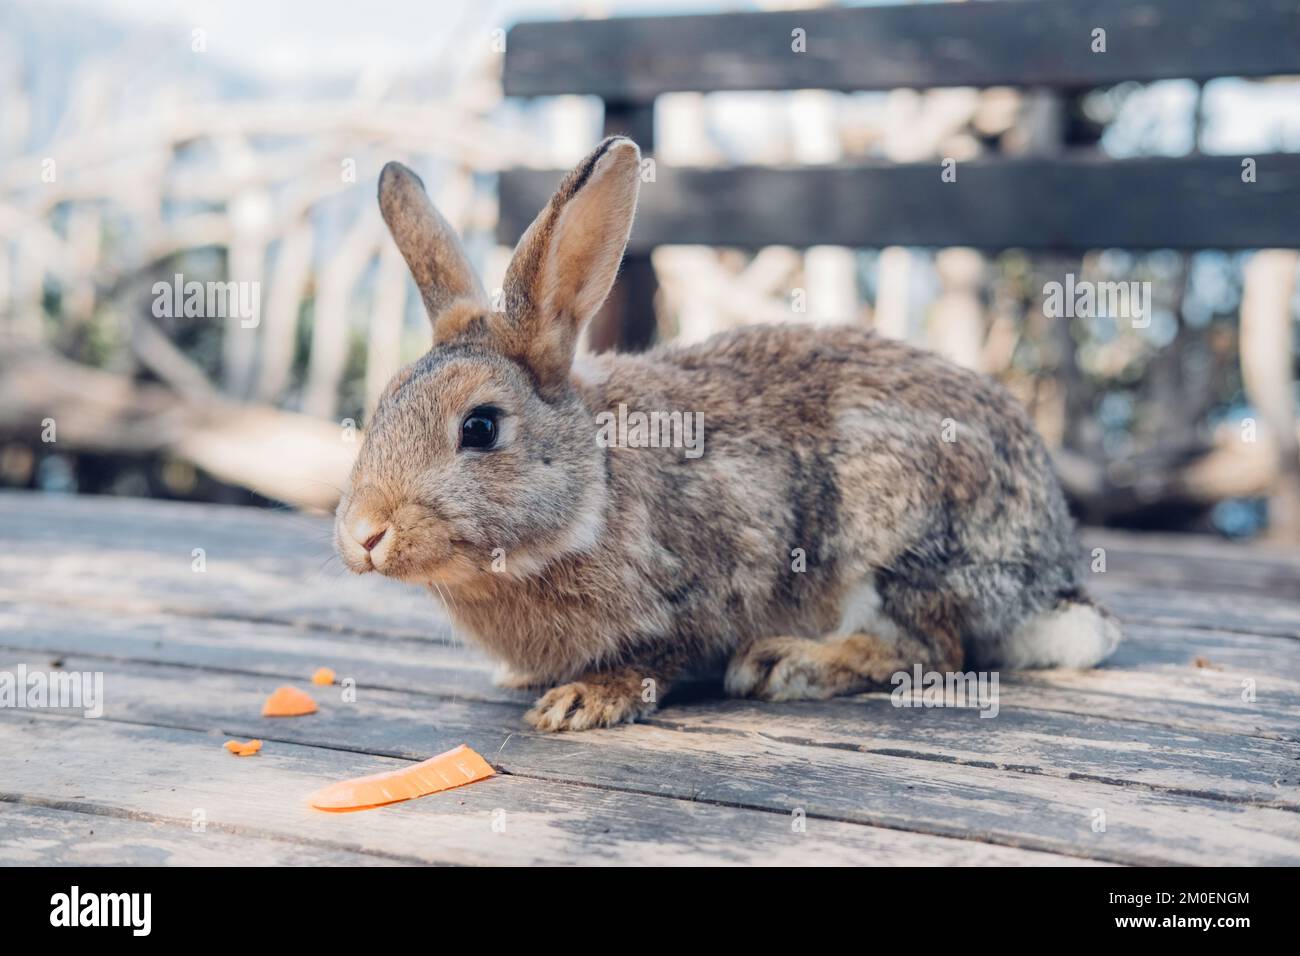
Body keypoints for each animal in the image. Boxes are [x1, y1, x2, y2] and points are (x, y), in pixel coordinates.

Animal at [335, 136, 1121, 732]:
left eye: (480, 426)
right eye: (382, 404)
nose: (363, 535)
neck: (594, 490)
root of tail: (1049, 566)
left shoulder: (715, 585)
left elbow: (662, 660)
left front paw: (583, 699)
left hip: (899, 543)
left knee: (935, 649)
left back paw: (787, 663)